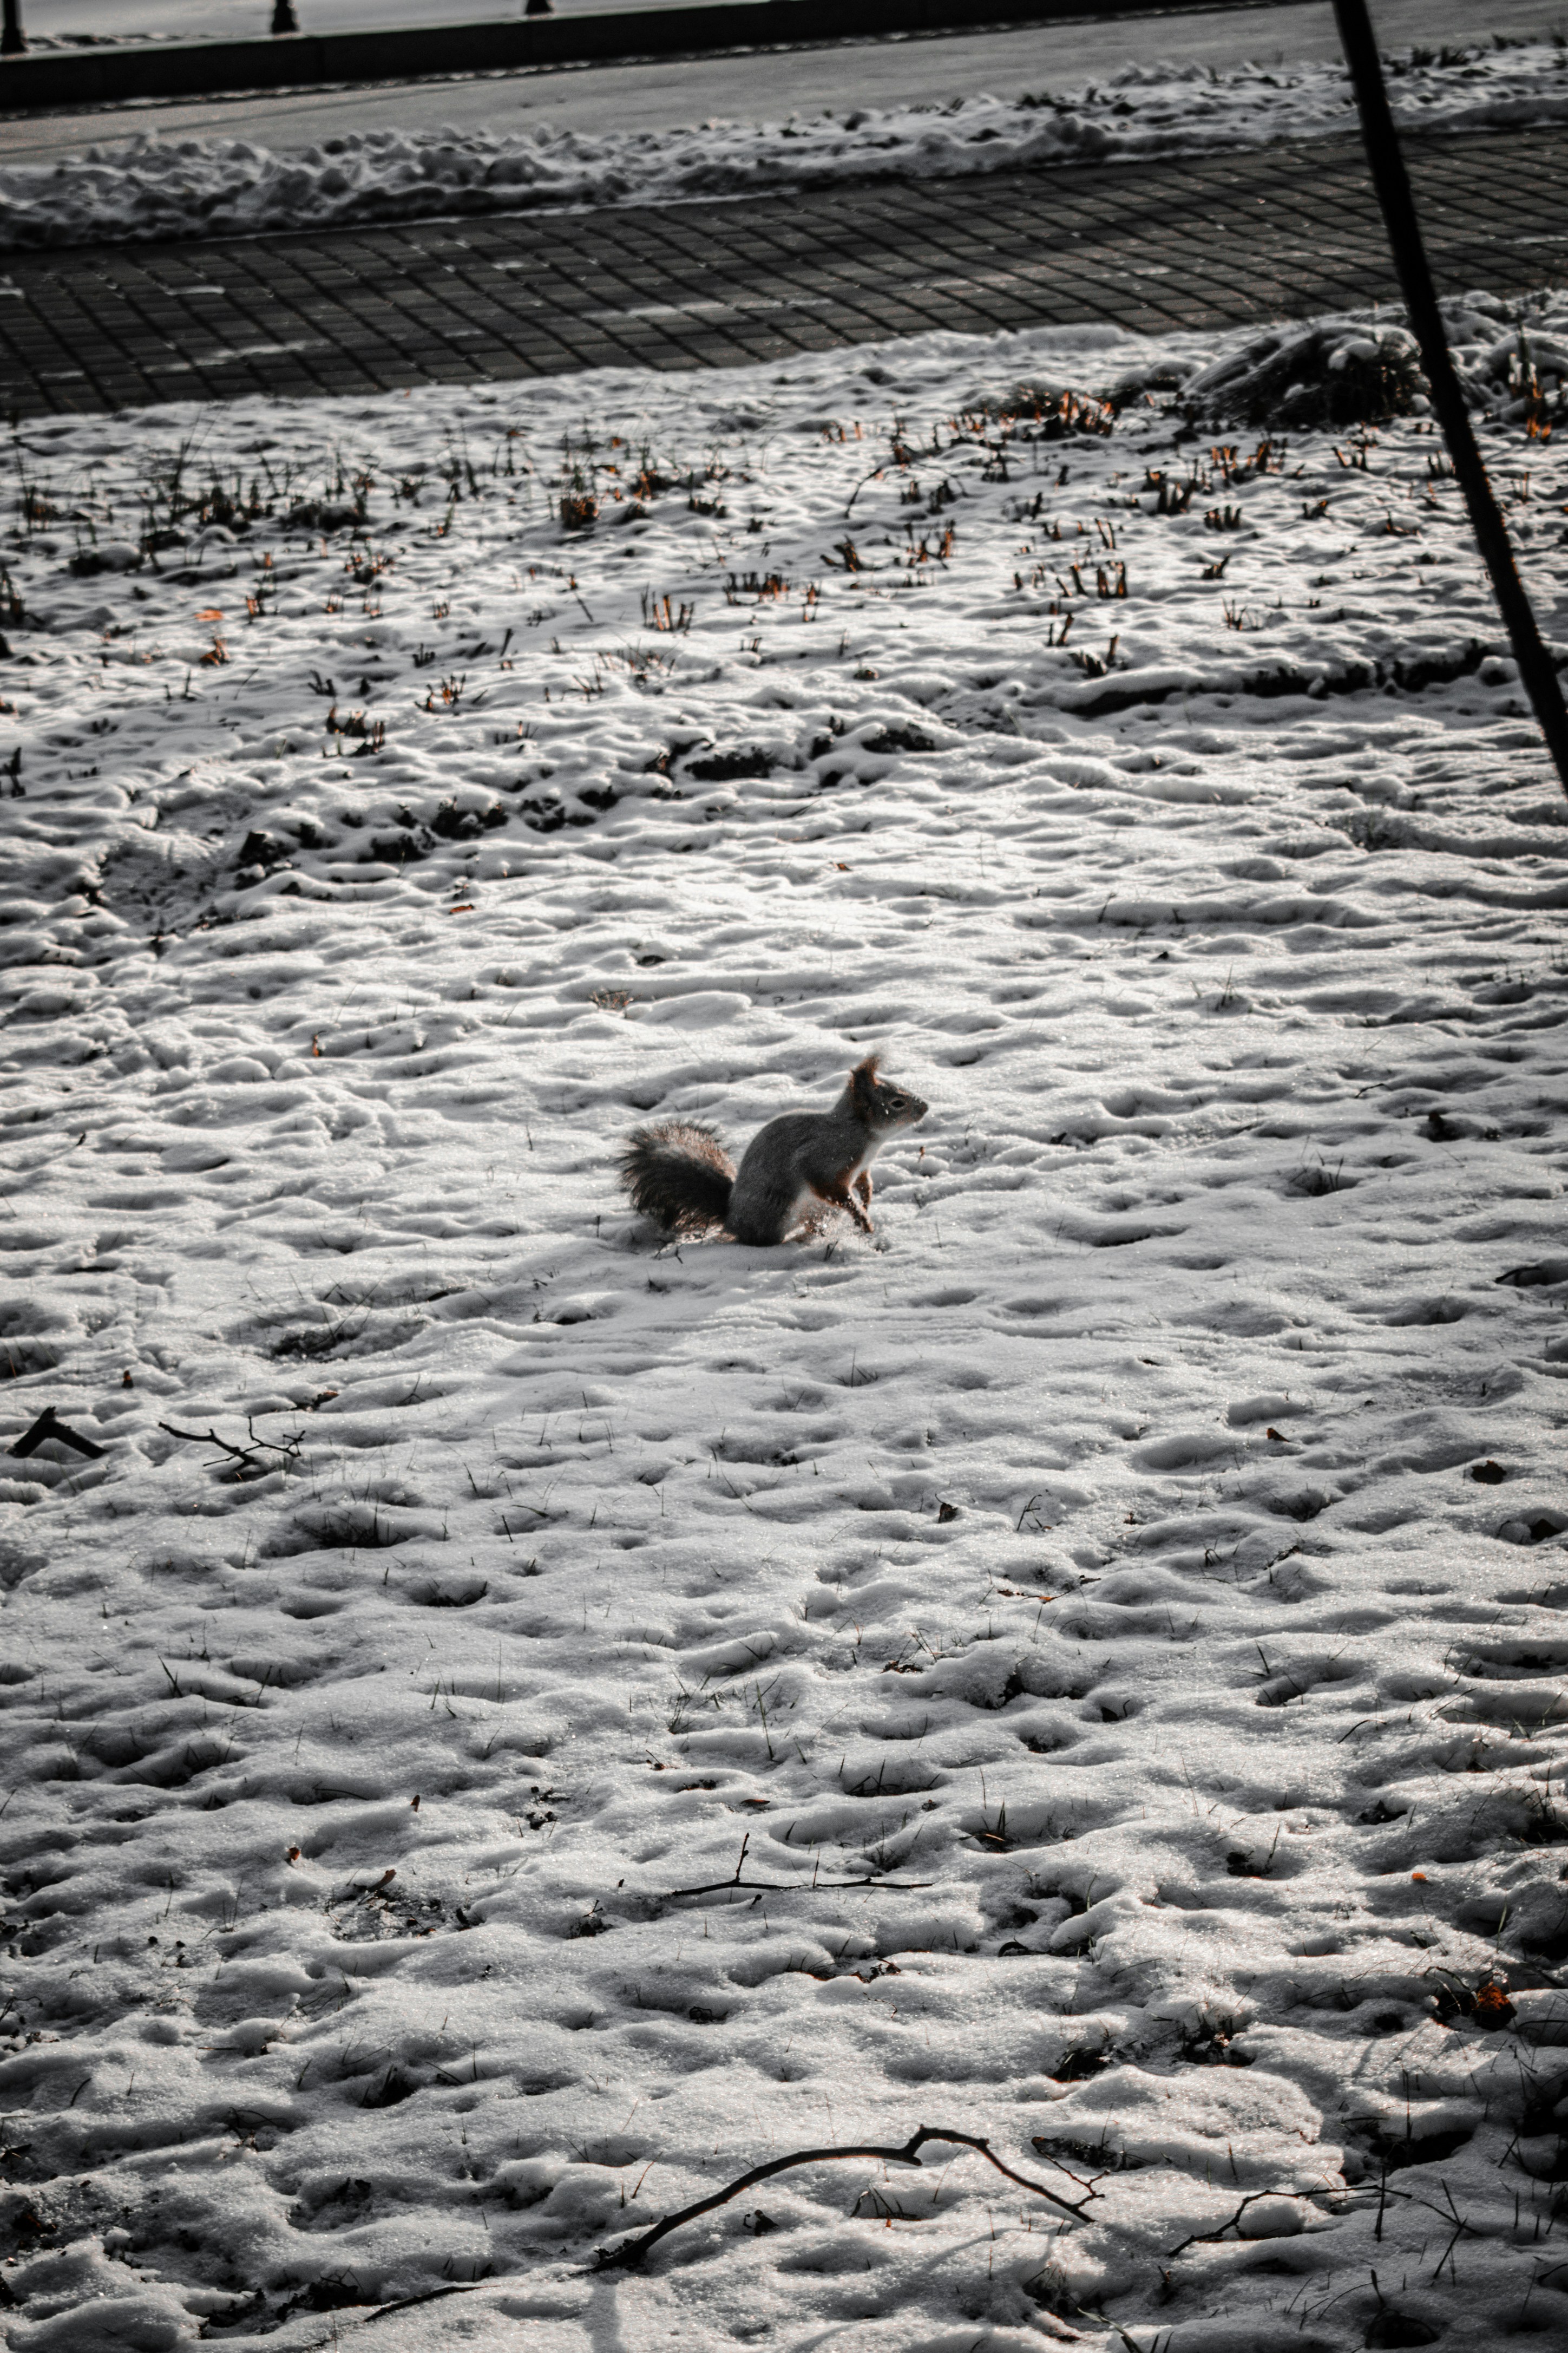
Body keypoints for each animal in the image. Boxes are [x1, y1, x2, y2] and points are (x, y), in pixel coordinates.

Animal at [619, 1055, 928, 1246]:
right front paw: (861, 1216)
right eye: (897, 1103)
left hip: (814, 1213)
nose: (926, 1107)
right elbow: (827, 1186)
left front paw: (866, 1196)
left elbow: (865, 1180)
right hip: (777, 1211)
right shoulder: (825, 1157)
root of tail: (732, 1220)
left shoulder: (862, 1166)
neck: (866, 1137)